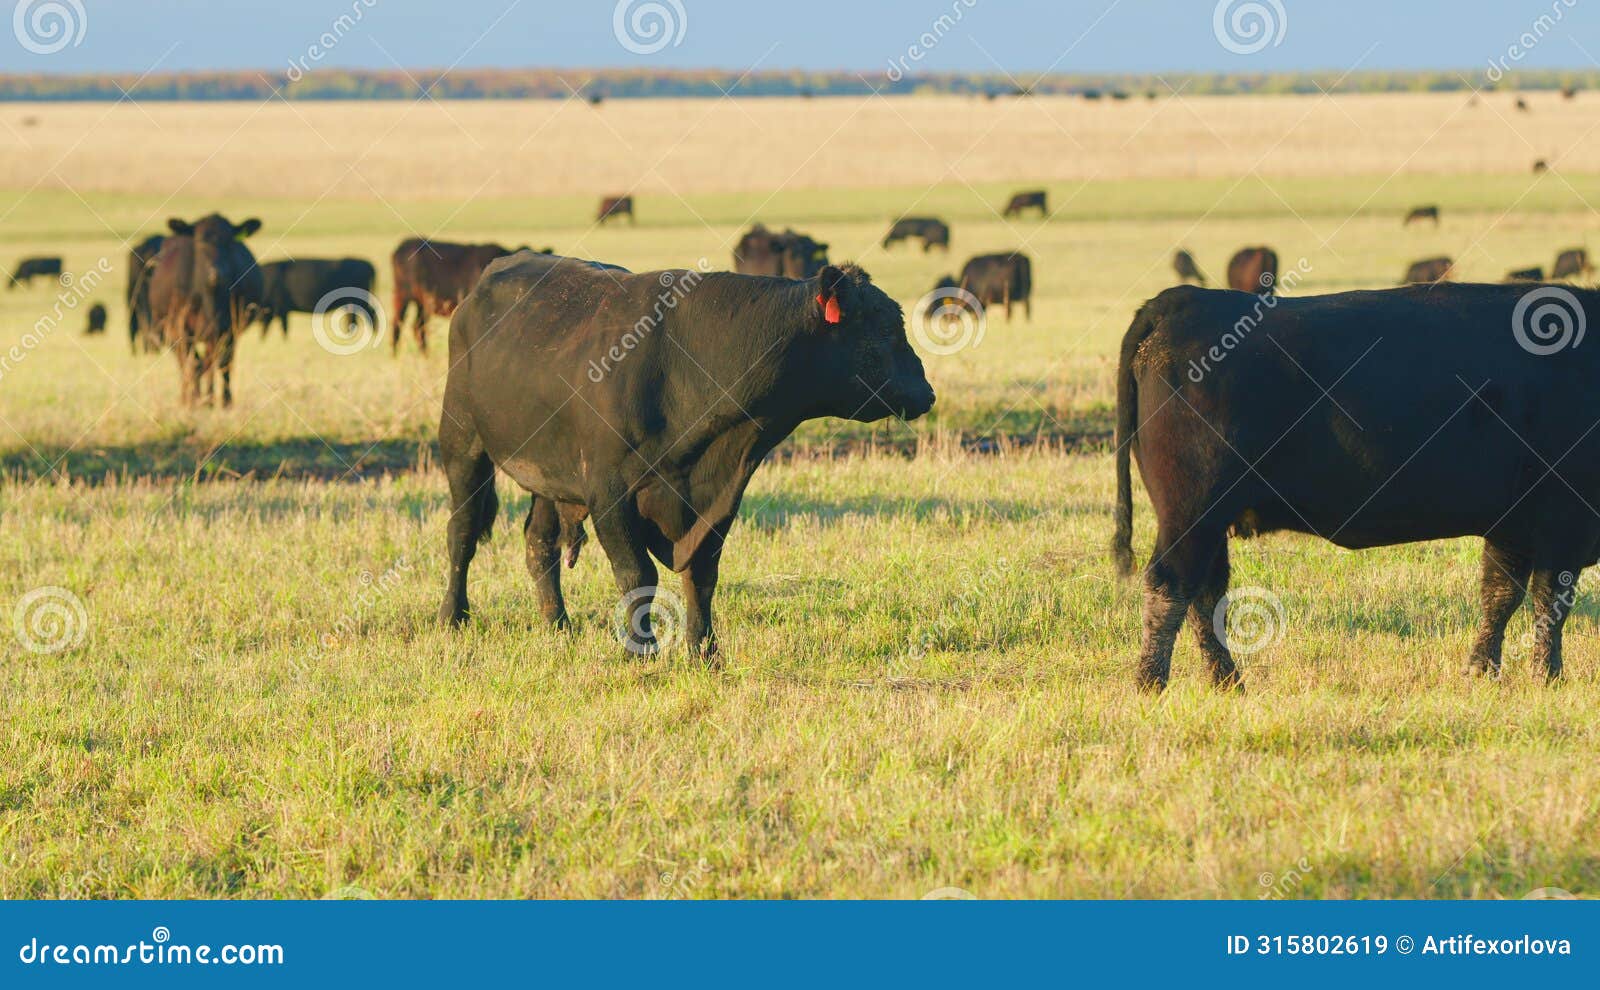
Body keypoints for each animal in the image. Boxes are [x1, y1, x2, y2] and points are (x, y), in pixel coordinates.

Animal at [142, 214, 262, 408]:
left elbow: (217, 362)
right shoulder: (178, 328)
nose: (217, 273)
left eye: (230, 242)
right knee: (187, 363)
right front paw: (194, 400)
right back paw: (187, 396)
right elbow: (192, 364)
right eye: (199, 242)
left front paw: (215, 400)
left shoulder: (225, 329)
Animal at [436, 254, 935, 658]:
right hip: (462, 442)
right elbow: (636, 574)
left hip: (548, 474)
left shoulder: (716, 504)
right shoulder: (609, 493)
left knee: (539, 545)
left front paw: (703, 650)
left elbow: (702, 574)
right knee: (462, 532)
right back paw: (452, 616)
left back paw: (558, 625)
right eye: (884, 328)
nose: (926, 392)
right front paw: (641, 650)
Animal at [1112, 282, 1600, 691]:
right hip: (1192, 512)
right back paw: (1151, 683)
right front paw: (1549, 678)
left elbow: (1499, 596)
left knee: (1204, 593)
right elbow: (1549, 602)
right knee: (1171, 585)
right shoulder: (1564, 521)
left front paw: (1482, 672)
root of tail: (1185, 298)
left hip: (1211, 522)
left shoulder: (1513, 526)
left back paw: (1227, 682)